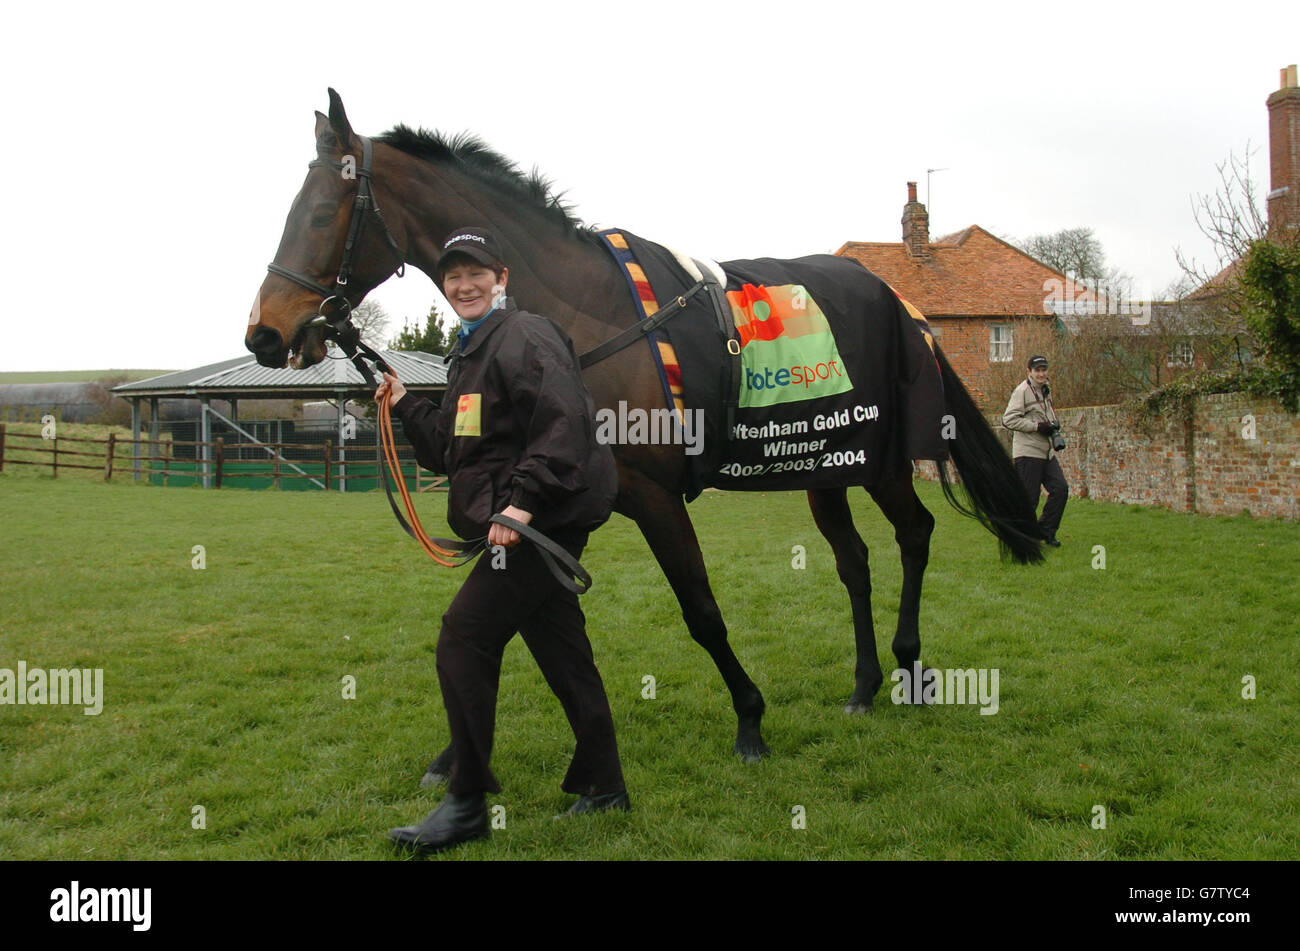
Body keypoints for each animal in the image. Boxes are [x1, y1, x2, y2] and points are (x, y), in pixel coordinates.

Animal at [246, 89, 1043, 770]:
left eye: (320, 214)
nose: (266, 331)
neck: (585, 317)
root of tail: (901, 304)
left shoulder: (652, 496)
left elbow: (702, 612)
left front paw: (750, 720)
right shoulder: (559, 502)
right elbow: (510, 613)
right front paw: (457, 754)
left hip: (880, 462)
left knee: (916, 535)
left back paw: (909, 666)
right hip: (824, 467)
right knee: (855, 560)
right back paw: (865, 683)